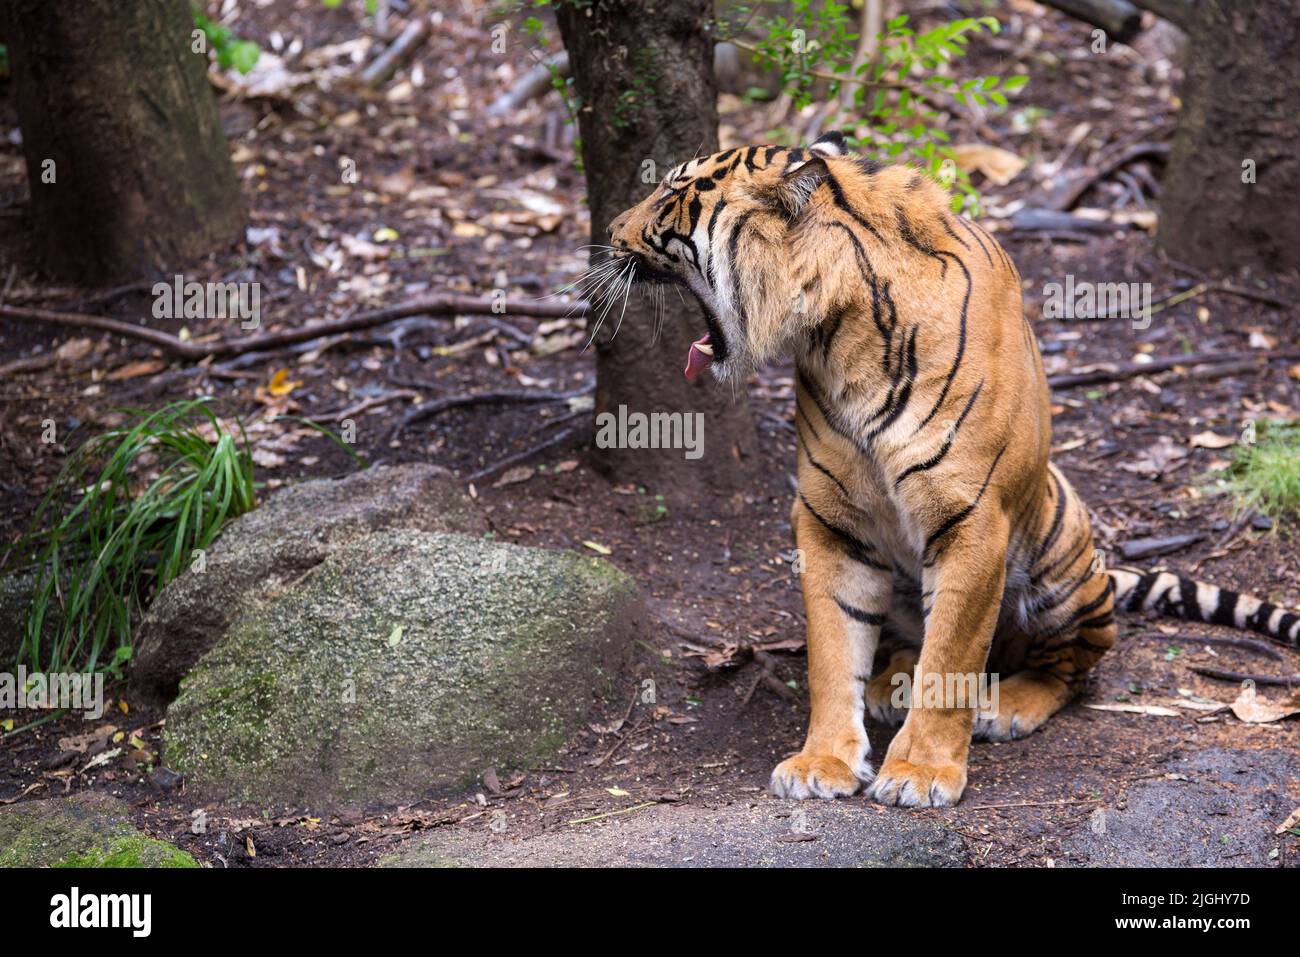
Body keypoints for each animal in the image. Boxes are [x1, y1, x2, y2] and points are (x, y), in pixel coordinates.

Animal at [602, 130, 1300, 806]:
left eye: (674, 190)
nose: (609, 230)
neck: (835, 334)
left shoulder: (972, 521)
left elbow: (952, 657)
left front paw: (920, 771)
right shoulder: (830, 520)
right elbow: (833, 653)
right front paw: (822, 762)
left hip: (1061, 556)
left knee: (1073, 665)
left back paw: (1007, 705)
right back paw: (889, 683)